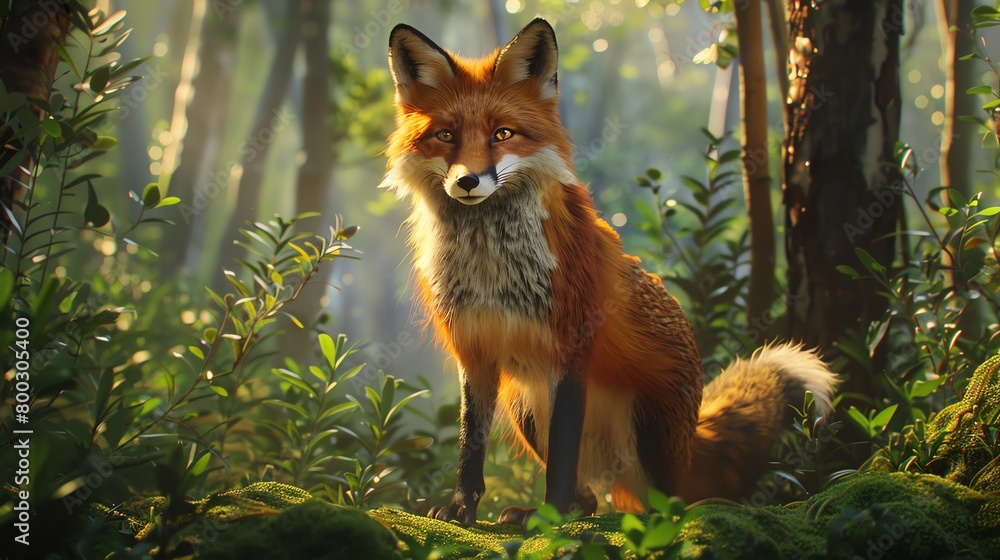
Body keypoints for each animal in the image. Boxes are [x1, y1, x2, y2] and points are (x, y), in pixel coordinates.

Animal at [379, 18, 839, 526]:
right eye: (446, 136)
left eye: (502, 134)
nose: (467, 181)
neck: (492, 272)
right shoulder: (475, 350)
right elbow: (469, 444)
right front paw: (463, 506)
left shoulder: (570, 349)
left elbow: (561, 462)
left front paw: (552, 519)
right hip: (525, 407)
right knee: (593, 497)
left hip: (649, 431)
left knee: (665, 501)